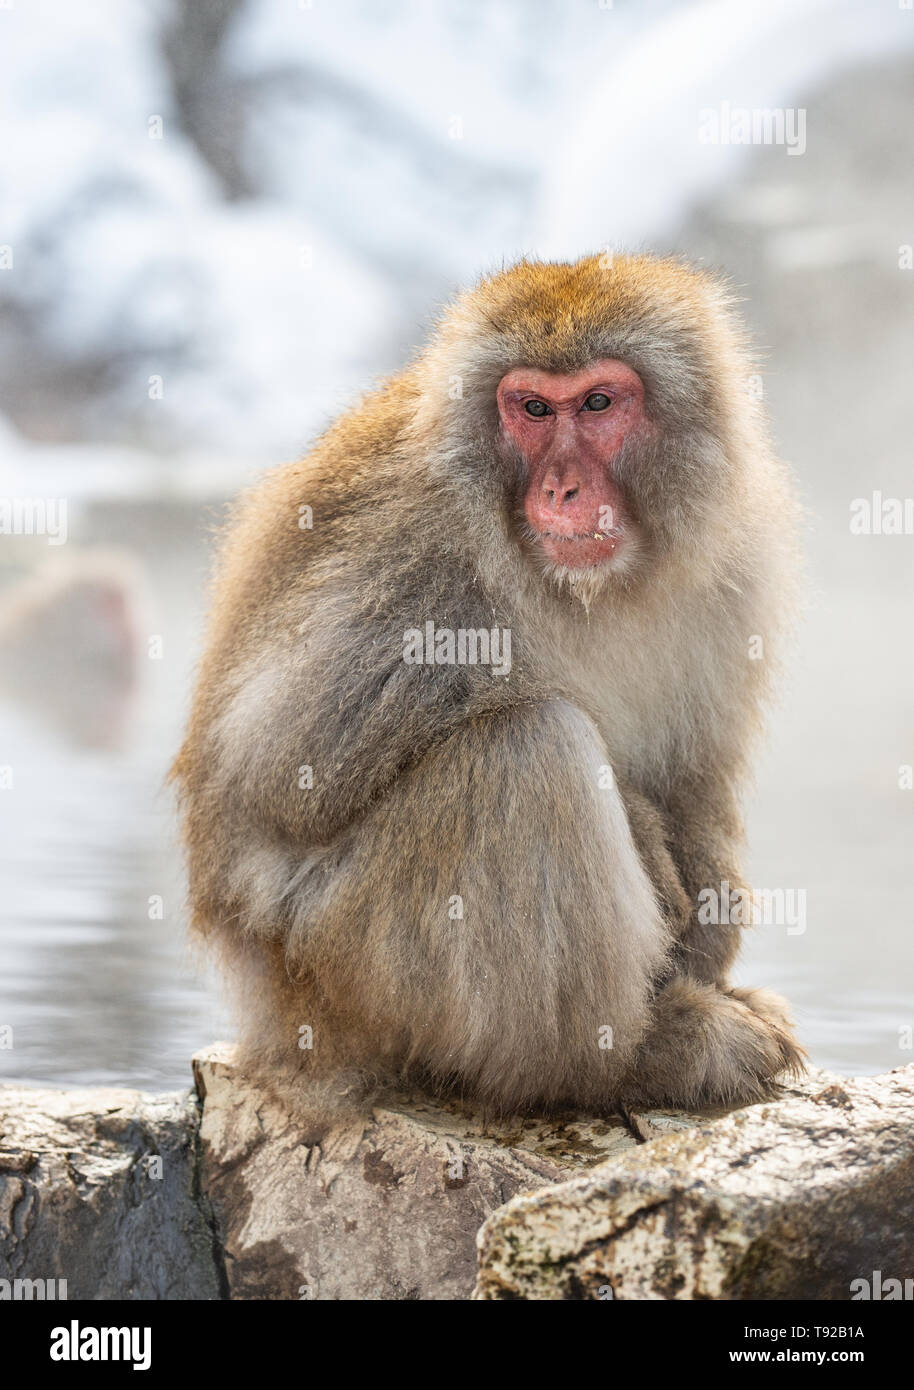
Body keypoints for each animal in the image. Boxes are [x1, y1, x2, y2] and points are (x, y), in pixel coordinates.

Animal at [173, 253, 805, 1125]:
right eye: (532, 408)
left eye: (598, 403)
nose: (562, 490)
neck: (590, 587)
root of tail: (266, 1011)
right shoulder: (409, 549)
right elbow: (277, 765)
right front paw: (643, 830)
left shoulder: (729, 563)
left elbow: (696, 767)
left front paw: (711, 924)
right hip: (340, 959)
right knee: (531, 749)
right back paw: (622, 1061)